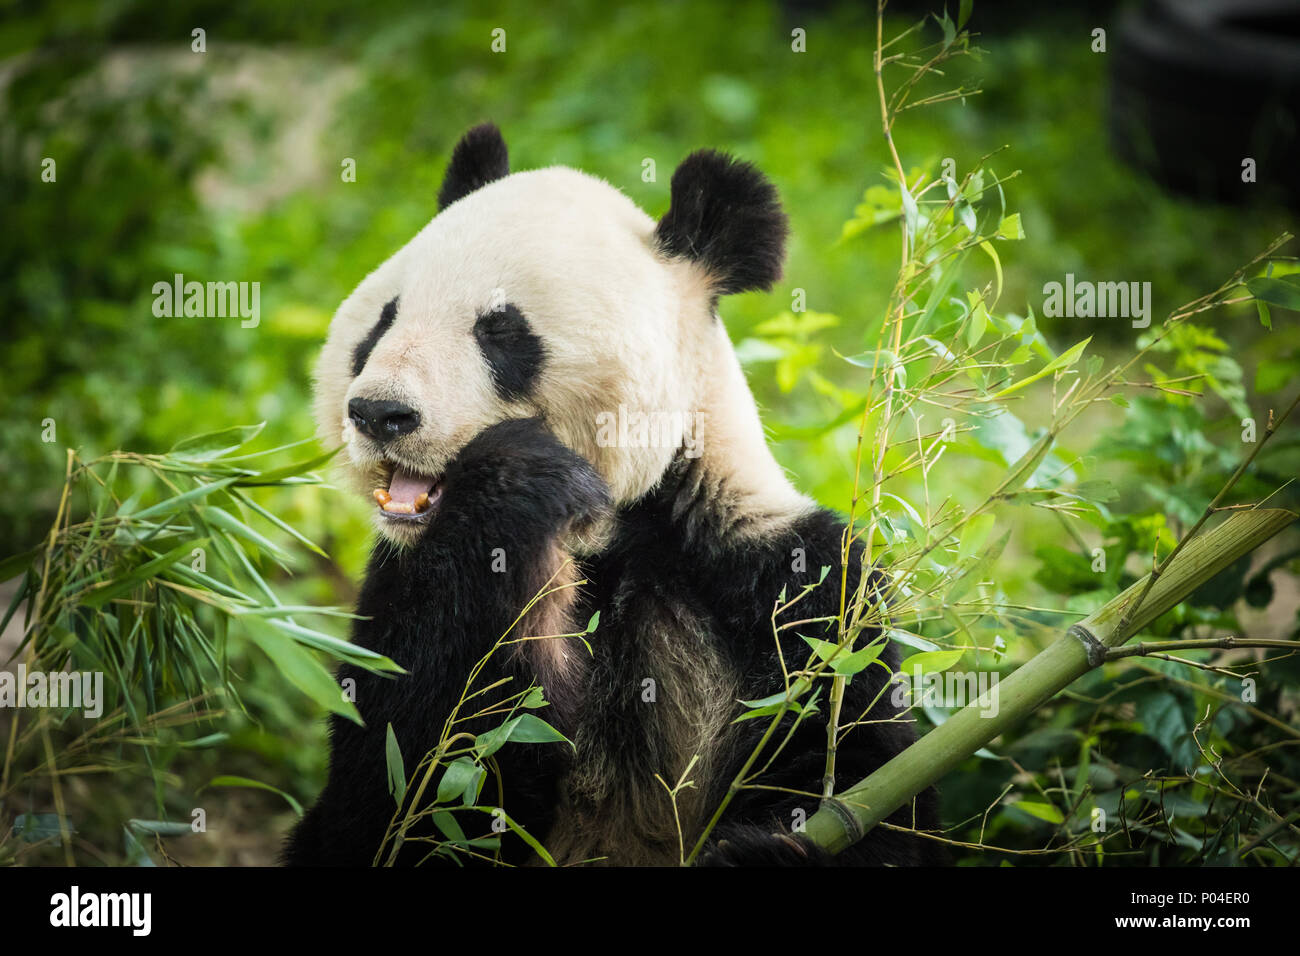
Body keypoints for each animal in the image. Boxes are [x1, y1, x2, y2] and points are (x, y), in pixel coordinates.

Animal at [284, 123, 942, 867]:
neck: (610, 531)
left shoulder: (787, 582)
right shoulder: (402, 576)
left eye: (500, 330)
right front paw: (516, 485)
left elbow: (857, 773)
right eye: (383, 321)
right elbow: (409, 789)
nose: (379, 413)